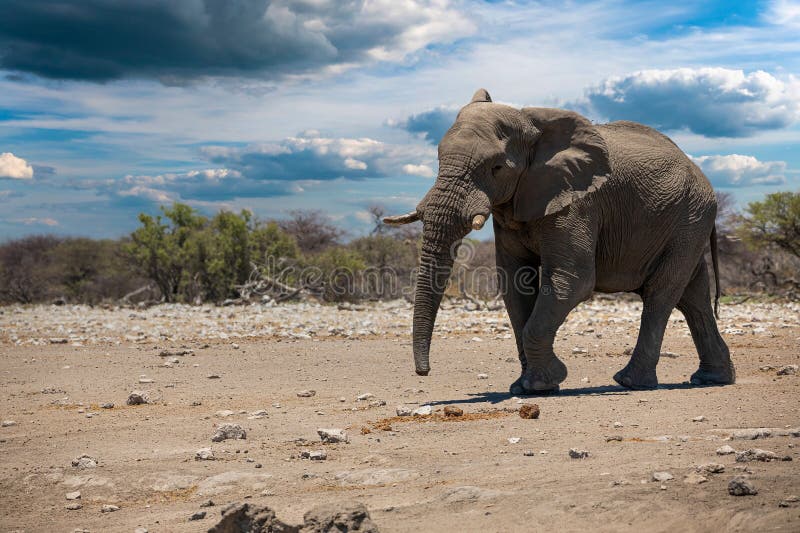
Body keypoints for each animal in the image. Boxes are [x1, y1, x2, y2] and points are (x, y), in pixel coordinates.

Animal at [384, 88, 734, 394]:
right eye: (439, 160)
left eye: (496, 167)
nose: (424, 372)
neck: (531, 125)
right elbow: (516, 285)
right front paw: (524, 387)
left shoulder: (577, 203)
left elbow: (572, 279)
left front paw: (543, 384)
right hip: (686, 222)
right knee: (693, 296)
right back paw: (711, 379)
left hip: (689, 217)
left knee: (661, 292)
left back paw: (630, 382)